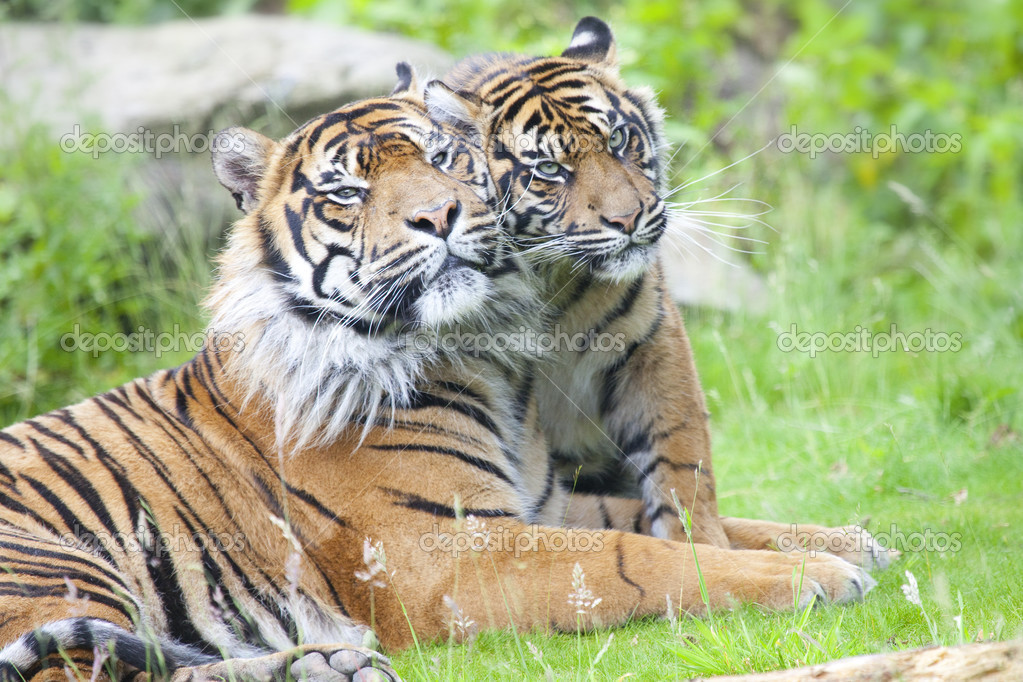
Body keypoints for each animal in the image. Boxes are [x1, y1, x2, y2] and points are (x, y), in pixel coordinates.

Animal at [0, 64, 874, 681]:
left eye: (445, 157)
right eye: (347, 191)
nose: (438, 215)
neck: (482, 353)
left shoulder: (534, 503)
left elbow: (674, 521)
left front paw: (842, 540)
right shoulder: (444, 552)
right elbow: (637, 558)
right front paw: (815, 574)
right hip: (58, 563)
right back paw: (328, 665)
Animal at [425, 17, 894, 568]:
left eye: (619, 139)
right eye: (549, 170)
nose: (628, 219)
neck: (552, 284)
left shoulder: (651, 342)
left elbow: (681, 462)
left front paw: (704, 547)